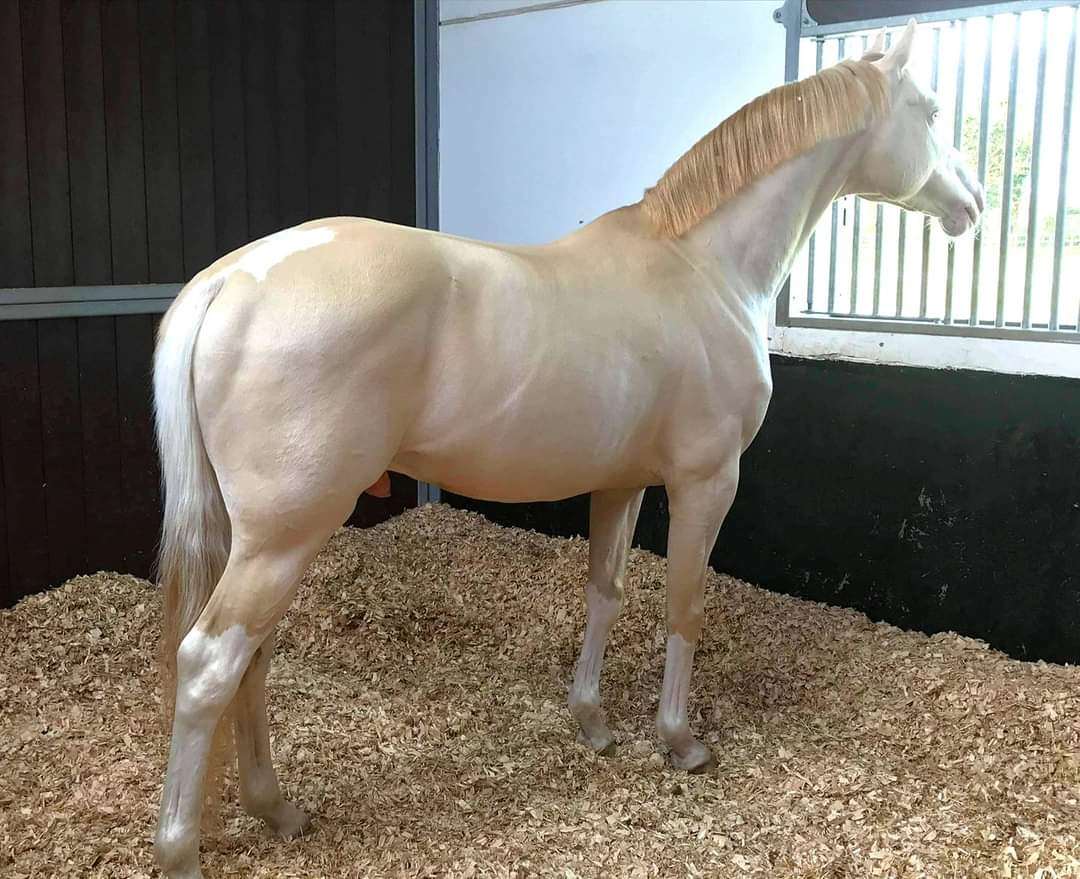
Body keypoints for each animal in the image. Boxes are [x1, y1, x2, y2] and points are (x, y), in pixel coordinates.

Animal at [152, 21, 983, 877]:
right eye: (931, 109)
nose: (974, 202)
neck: (703, 266)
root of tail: (234, 278)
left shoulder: (623, 483)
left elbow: (605, 590)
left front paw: (593, 721)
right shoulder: (706, 481)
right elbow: (685, 601)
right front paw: (681, 741)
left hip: (258, 541)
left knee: (251, 657)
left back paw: (275, 808)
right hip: (284, 538)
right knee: (210, 662)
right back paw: (182, 848)